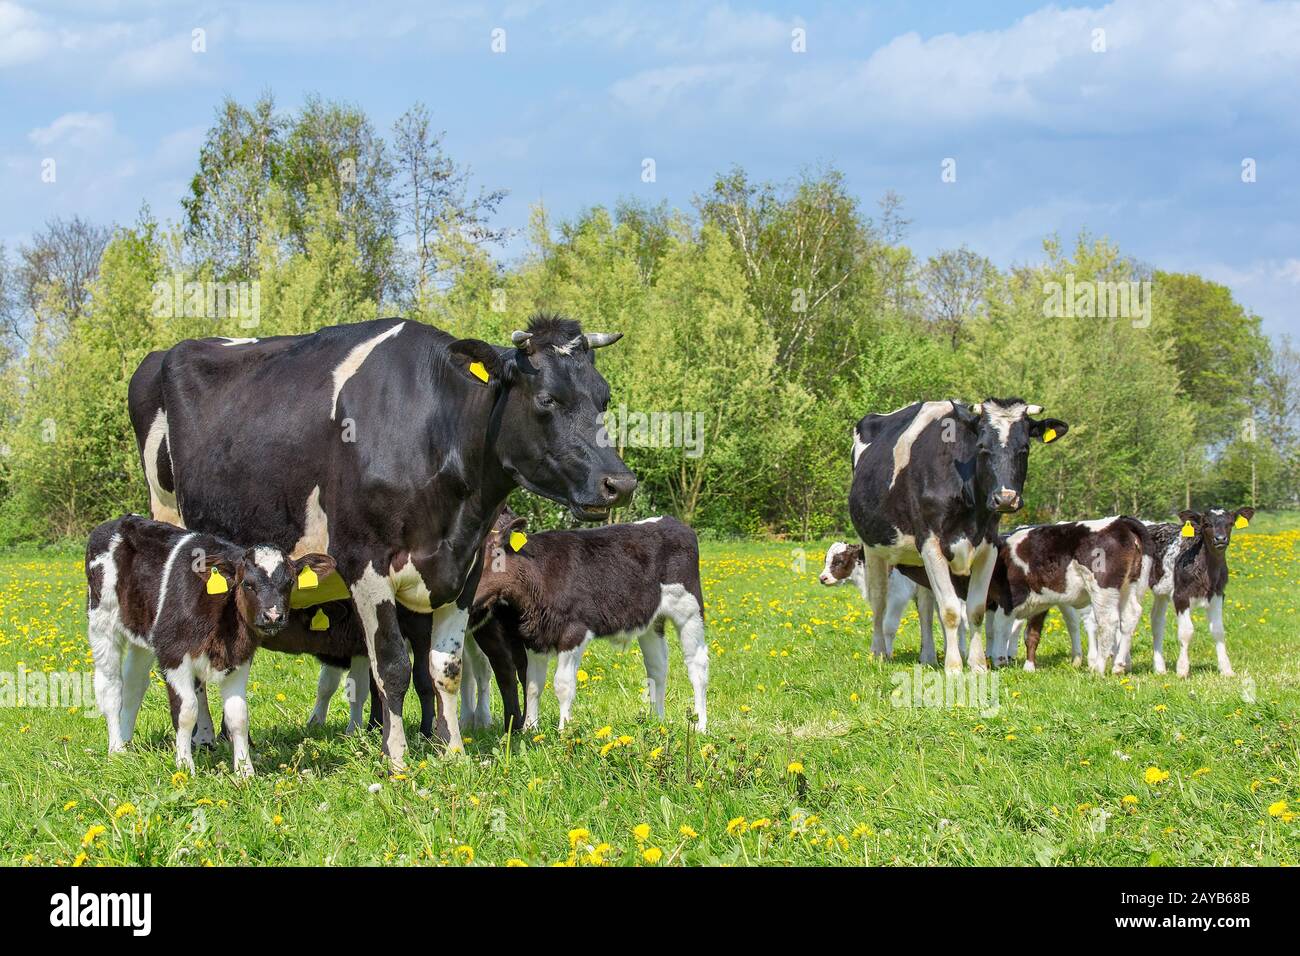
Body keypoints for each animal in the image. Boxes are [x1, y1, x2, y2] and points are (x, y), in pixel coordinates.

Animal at [85, 514, 335, 775]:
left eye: (289, 582)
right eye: (247, 583)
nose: (273, 616)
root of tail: (119, 521)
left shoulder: (240, 657)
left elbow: (238, 715)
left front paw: (245, 772)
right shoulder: (173, 655)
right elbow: (186, 711)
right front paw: (185, 767)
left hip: (142, 634)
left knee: (134, 685)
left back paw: (126, 743)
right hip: (102, 622)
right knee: (111, 687)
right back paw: (116, 750)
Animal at [128, 314, 636, 770]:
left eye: (604, 397)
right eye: (547, 399)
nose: (620, 484)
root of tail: (164, 352)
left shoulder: (464, 567)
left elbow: (444, 668)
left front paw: (453, 752)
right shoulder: (364, 562)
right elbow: (391, 666)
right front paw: (397, 759)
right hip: (175, 526)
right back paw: (202, 737)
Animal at [470, 514, 708, 732]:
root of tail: (675, 523)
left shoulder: (573, 631)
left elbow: (563, 685)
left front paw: (564, 731)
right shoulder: (535, 636)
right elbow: (532, 685)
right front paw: (530, 731)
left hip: (689, 609)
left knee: (697, 666)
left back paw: (700, 726)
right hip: (651, 621)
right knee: (657, 667)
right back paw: (657, 721)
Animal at [848, 399, 1068, 673]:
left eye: (1024, 448)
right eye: (982, 447)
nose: (1005, 498)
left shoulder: (988, 546)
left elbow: (974, 610)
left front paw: (977, 665)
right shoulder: (931, 544)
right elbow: (951, 610)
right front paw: (953, 667)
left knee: (926, 605)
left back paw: (928, 656)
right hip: (874, 547)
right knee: (879, 600)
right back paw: (879, 653)